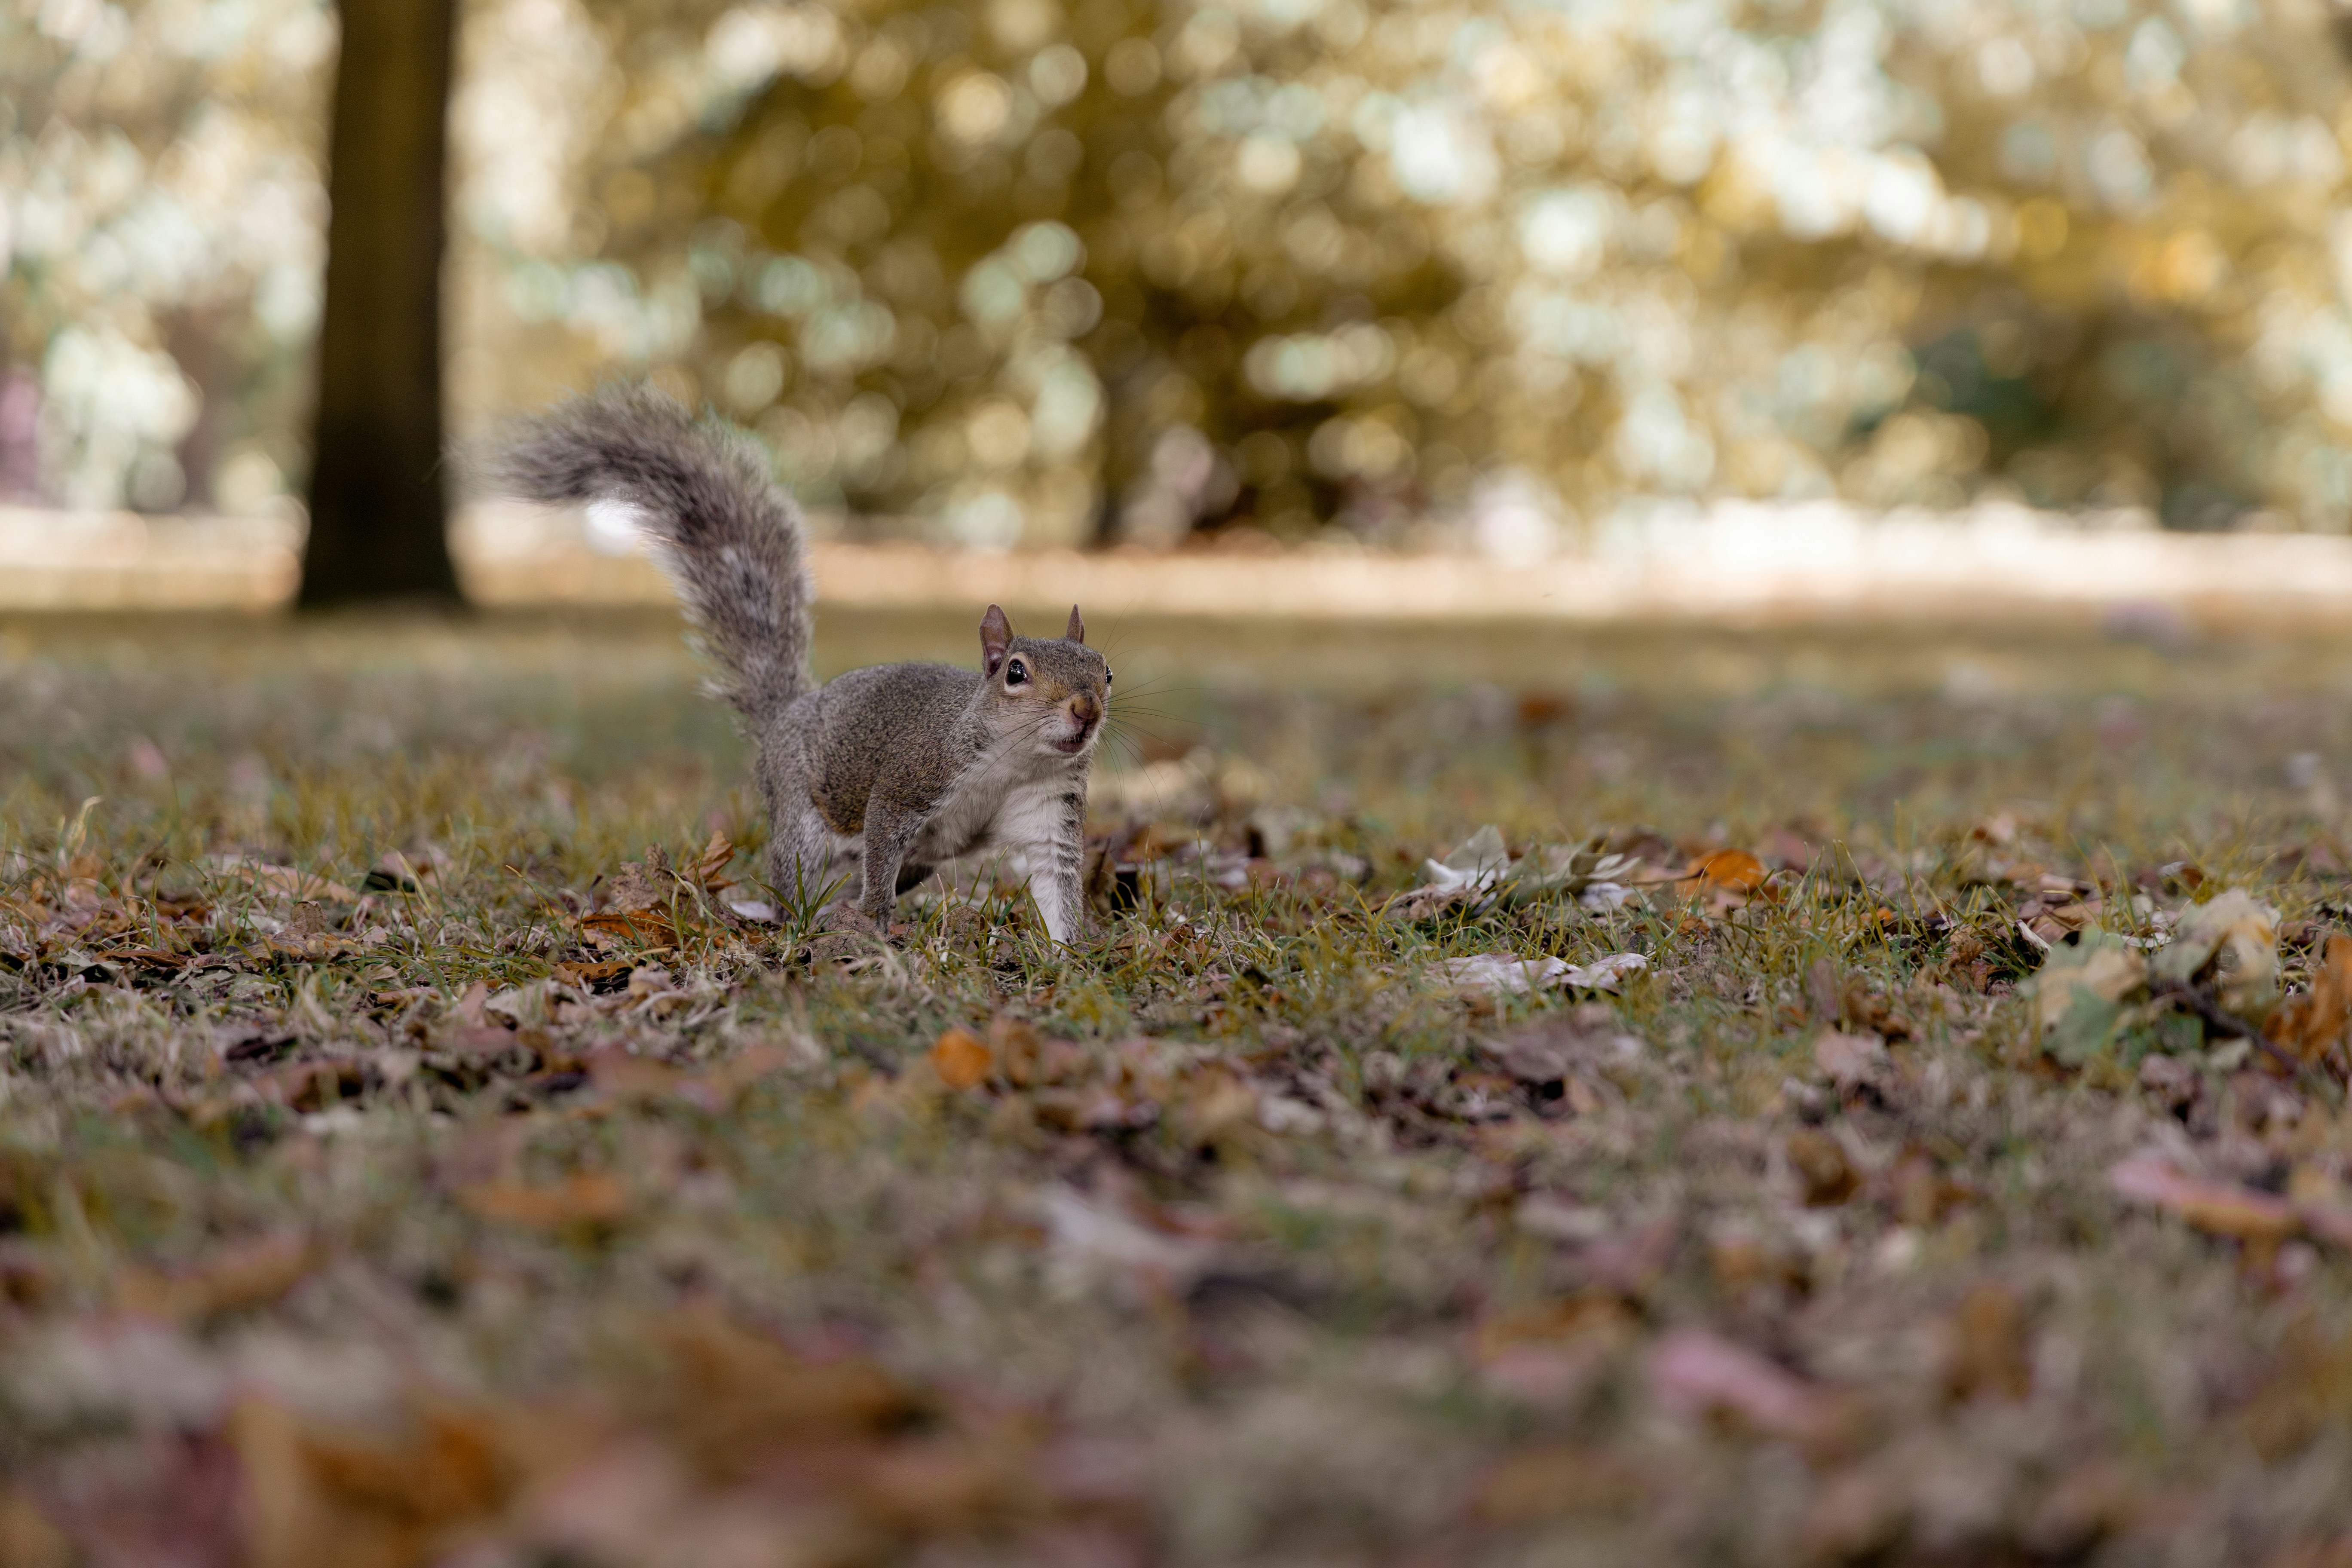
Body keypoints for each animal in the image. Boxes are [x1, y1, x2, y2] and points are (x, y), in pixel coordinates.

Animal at [492, 384, 1111, 944]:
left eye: (1106, 673)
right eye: (1015, 673)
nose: (1087, 711)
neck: (1015, 761)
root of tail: (786, 714)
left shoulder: (1048, 810)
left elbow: (1056, 887)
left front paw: (1068, 957)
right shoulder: (913, 779)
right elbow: (883, 836)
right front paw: (877, 925)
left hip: (920, 857)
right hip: (800, 816)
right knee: (803, 877)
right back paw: (808, 920)